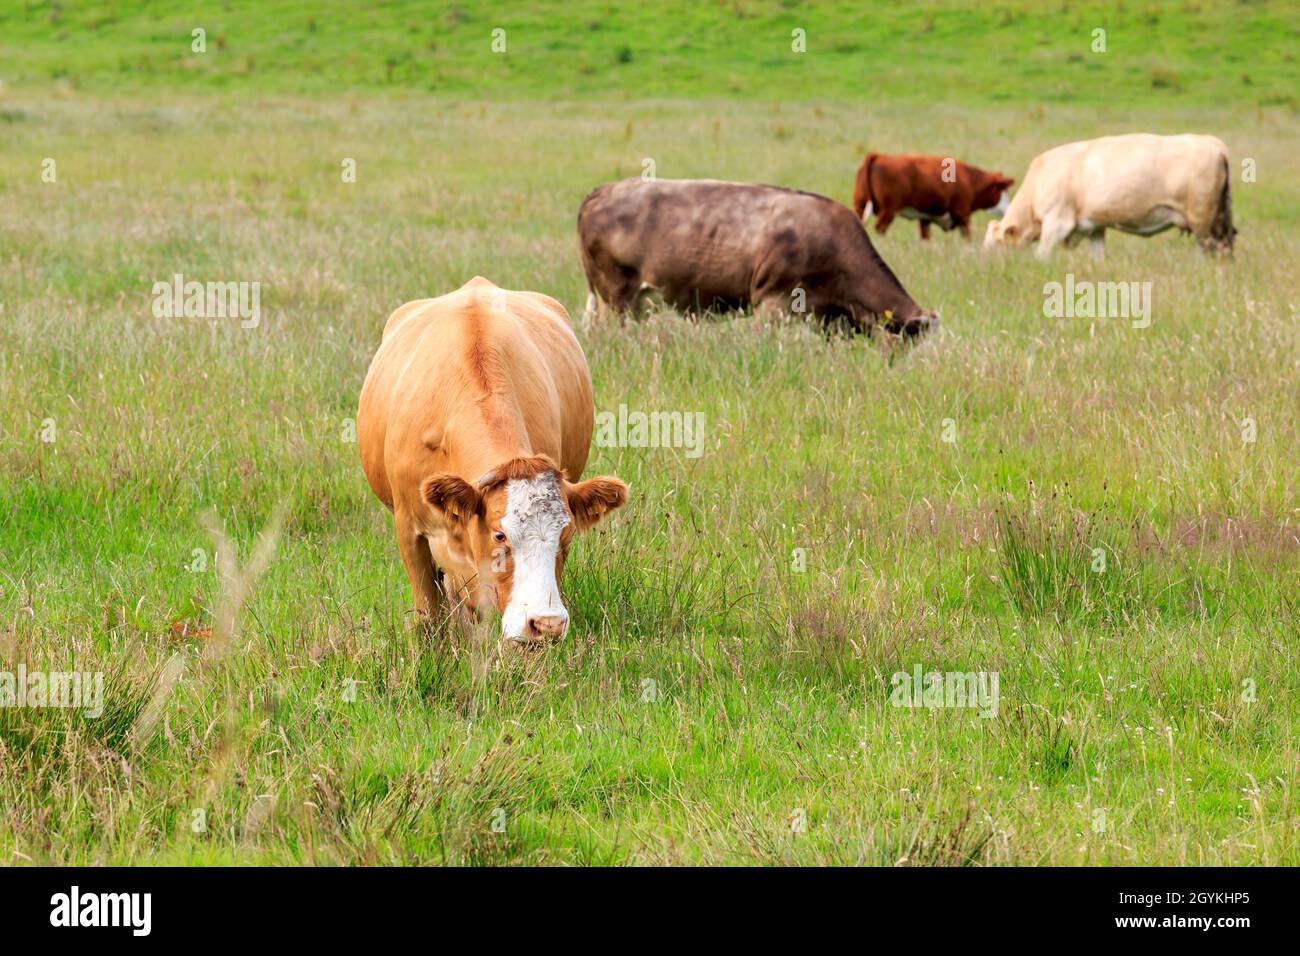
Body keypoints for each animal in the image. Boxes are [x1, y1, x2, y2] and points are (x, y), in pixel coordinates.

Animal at [852, 152, 1014, 241]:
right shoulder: (963, 215)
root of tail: (879, 156)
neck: (969, 179)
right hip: (889, 210)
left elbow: (926, 238)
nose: (1008, 209)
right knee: (880, 228)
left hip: (860, 206)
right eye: (1003, 190)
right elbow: (967, 238)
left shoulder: (925, 218)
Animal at [983, 133, 1234, 257]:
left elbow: (1041, 256)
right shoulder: (1095, 227)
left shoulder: (1057, 223)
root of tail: (1212, 142)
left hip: (1202, 221)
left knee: (1211, 250)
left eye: (996, 248)